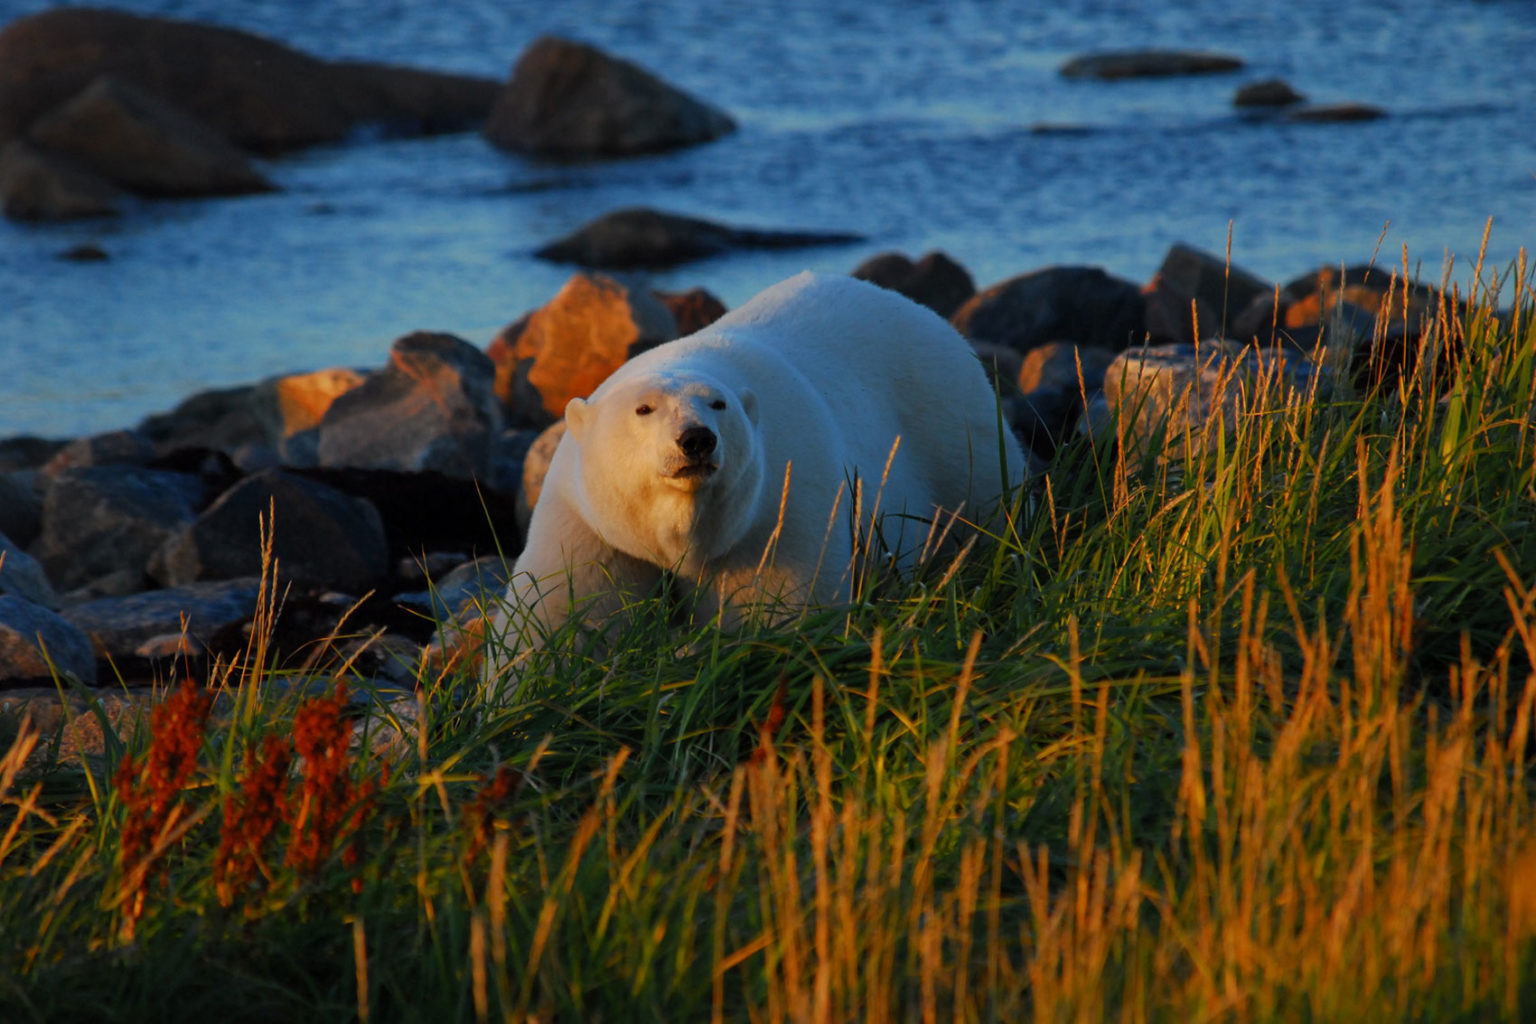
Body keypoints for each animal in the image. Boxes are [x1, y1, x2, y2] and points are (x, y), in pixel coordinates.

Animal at [484, 270, 1027, 678]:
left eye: (717, 404)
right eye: (644, 408)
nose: (696, 439)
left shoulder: (776, 507)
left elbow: (775, 607)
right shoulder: (589, 523)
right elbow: (558, 615)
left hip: (950, 428)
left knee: (984, 510)